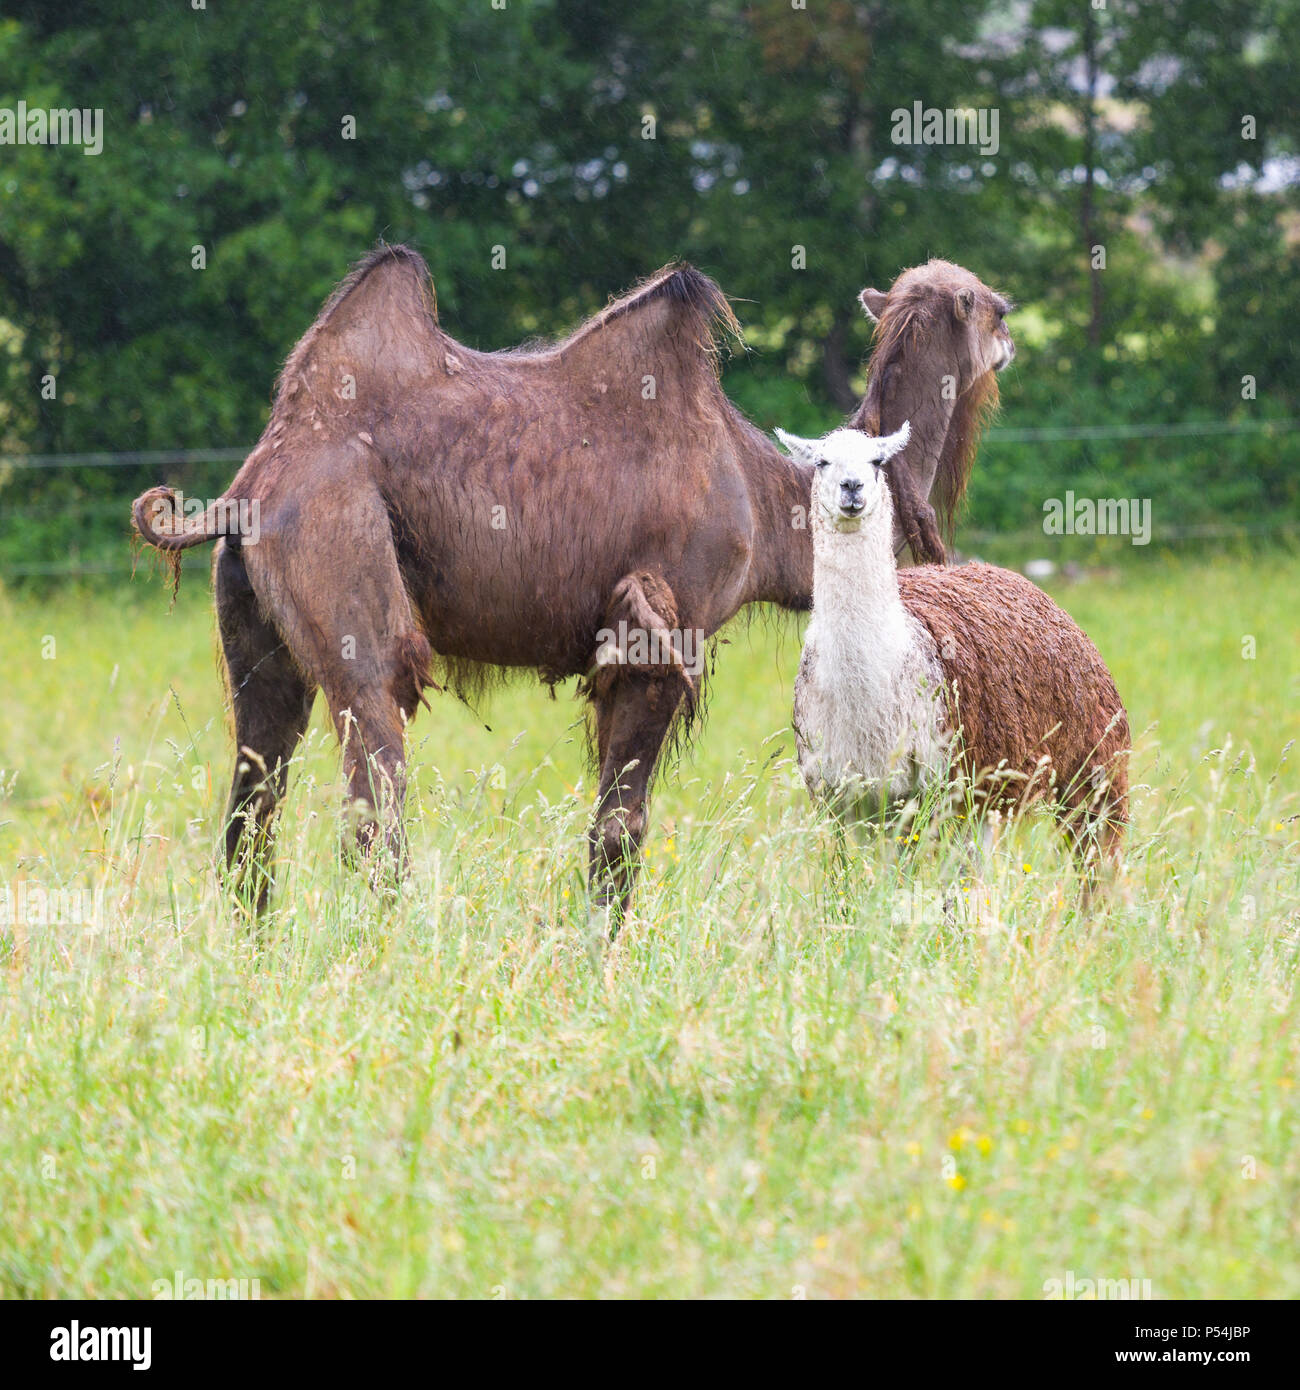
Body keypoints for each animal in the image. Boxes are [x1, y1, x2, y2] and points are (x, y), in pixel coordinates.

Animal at [131, 248, 1014, 923]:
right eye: (995, 310)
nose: (1011, 336)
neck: (769, 502)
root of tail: (254, 481)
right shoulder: (663, 632)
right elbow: (620, 832)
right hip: (341, 554)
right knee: (373, 783)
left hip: (252, 618)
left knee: (251, 808)